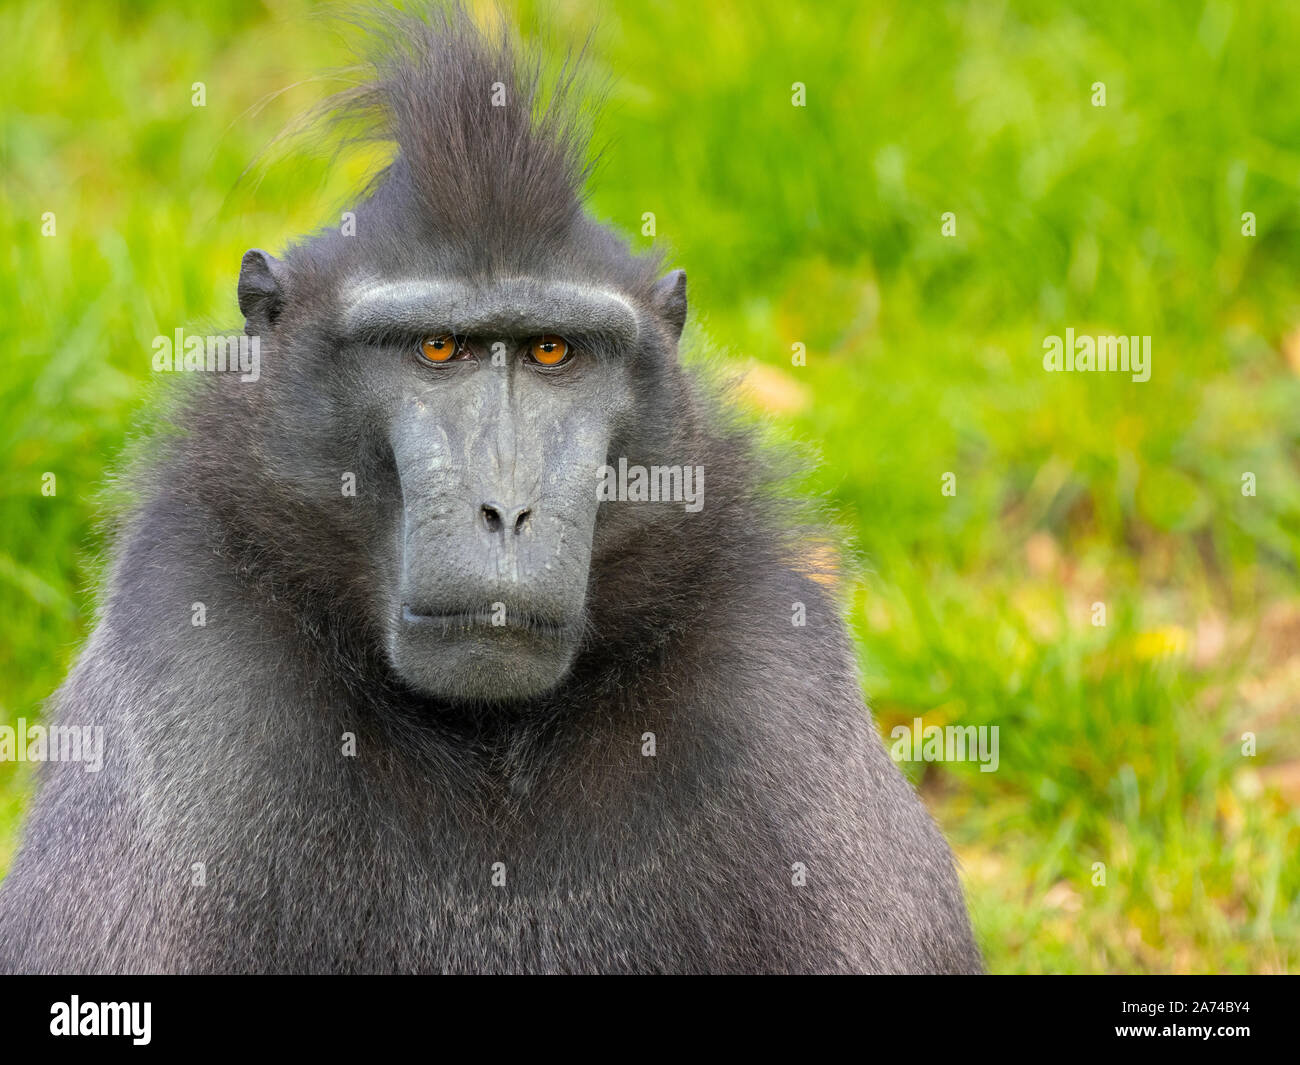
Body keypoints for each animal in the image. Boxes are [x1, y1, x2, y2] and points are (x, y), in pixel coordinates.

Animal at [0, 4, 982, 974]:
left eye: (553, 351)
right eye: (439, 349)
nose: (506, 512)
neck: (490, 736)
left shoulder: (778, 687)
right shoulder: (193, 676)